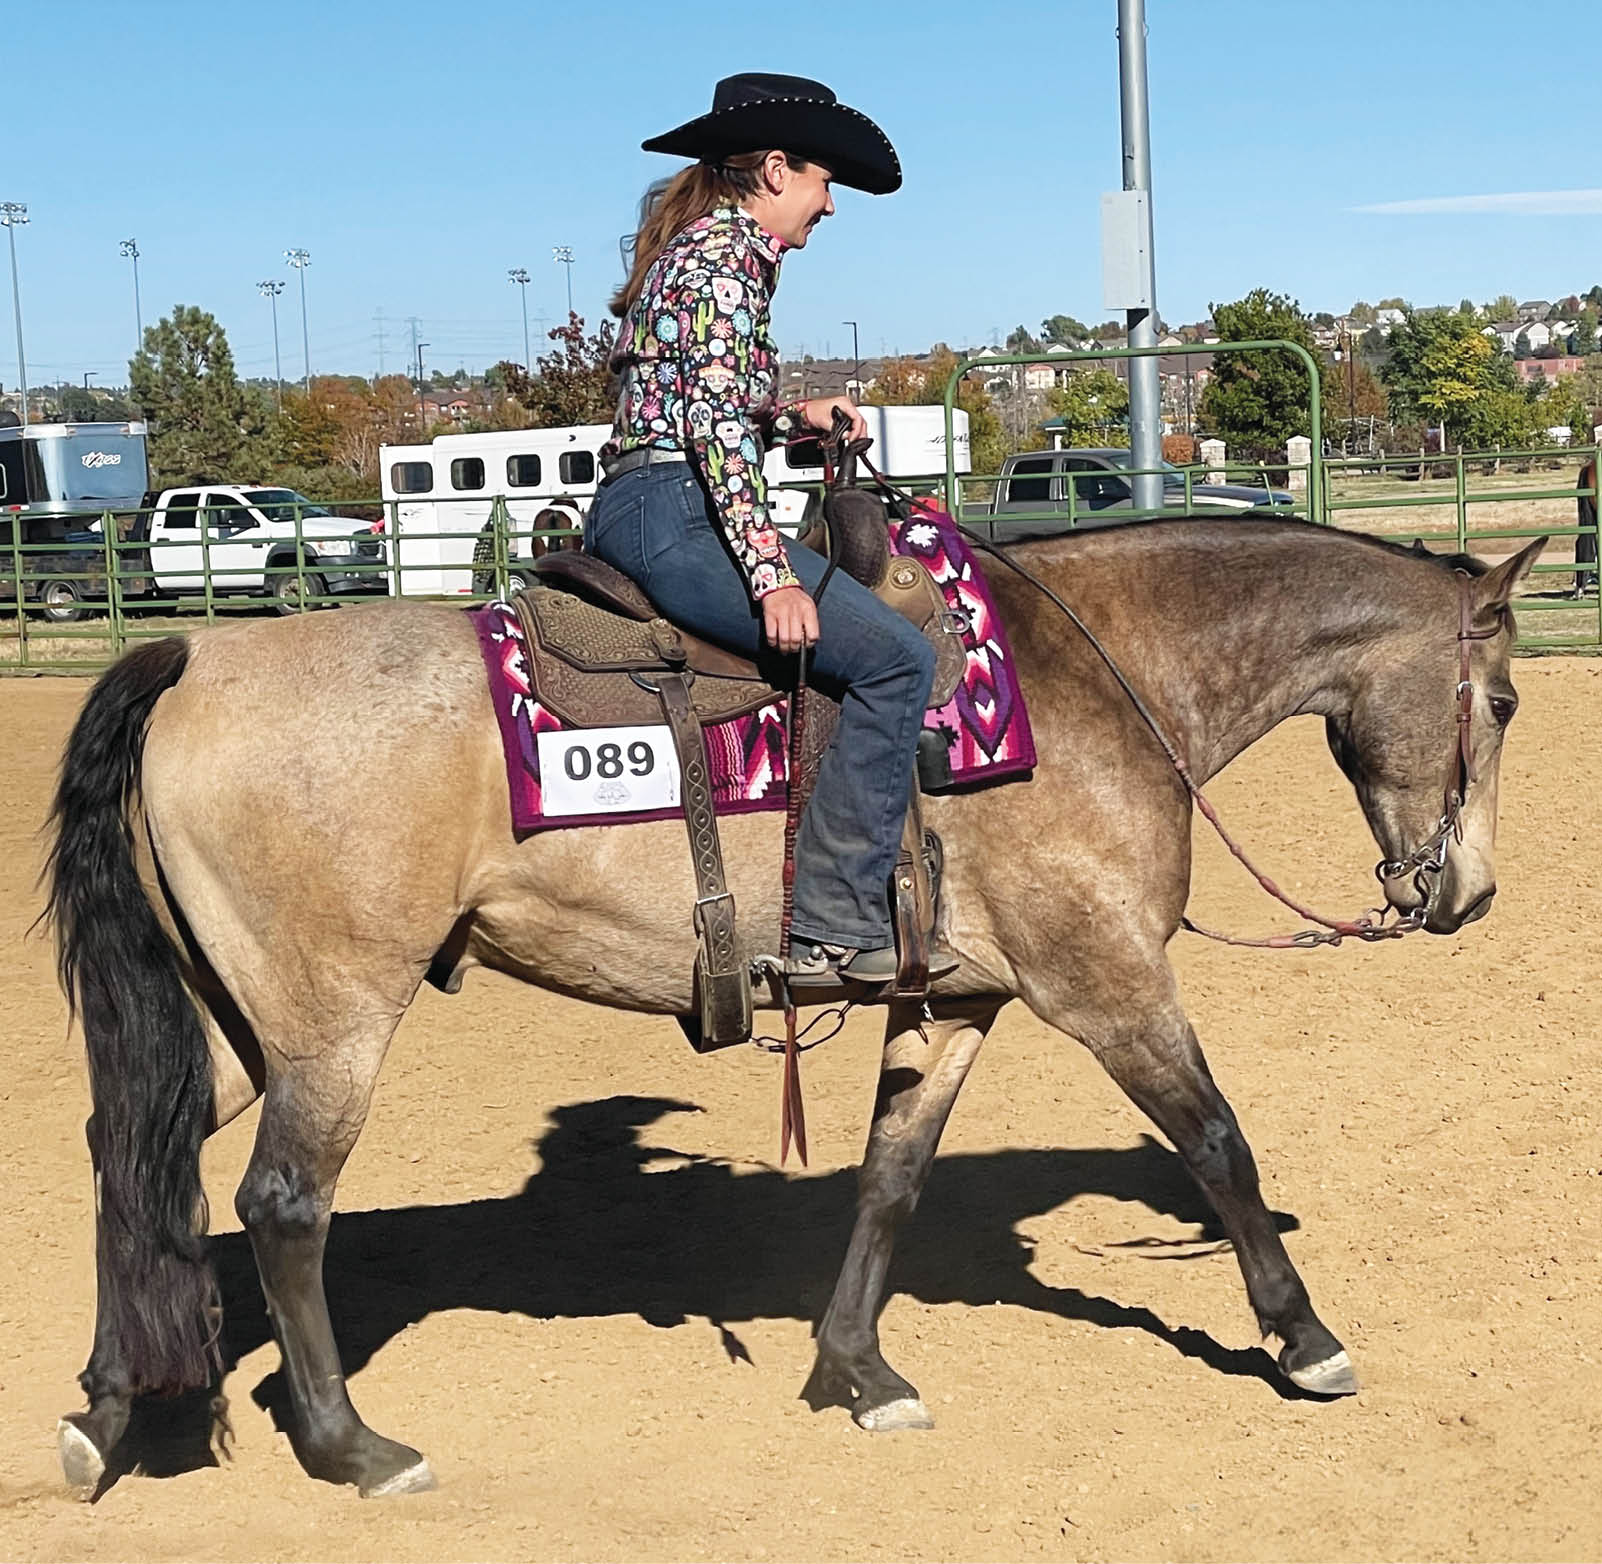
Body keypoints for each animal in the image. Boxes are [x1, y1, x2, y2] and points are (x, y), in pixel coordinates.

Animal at [42, 517, 1545, 1497]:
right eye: (1507, 703)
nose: (1467, 893)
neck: (1082, 680)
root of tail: (196, 662)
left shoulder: (957, 1001)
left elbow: (890, 1177)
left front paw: (856, 1370)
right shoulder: (1106, 983)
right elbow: (1220, 1142)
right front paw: (1307, 1343)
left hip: (234, 1025)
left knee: (129, 1161)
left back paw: (106, 1416)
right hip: (333, 1025)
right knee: (281, 1206)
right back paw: (353, 1446)